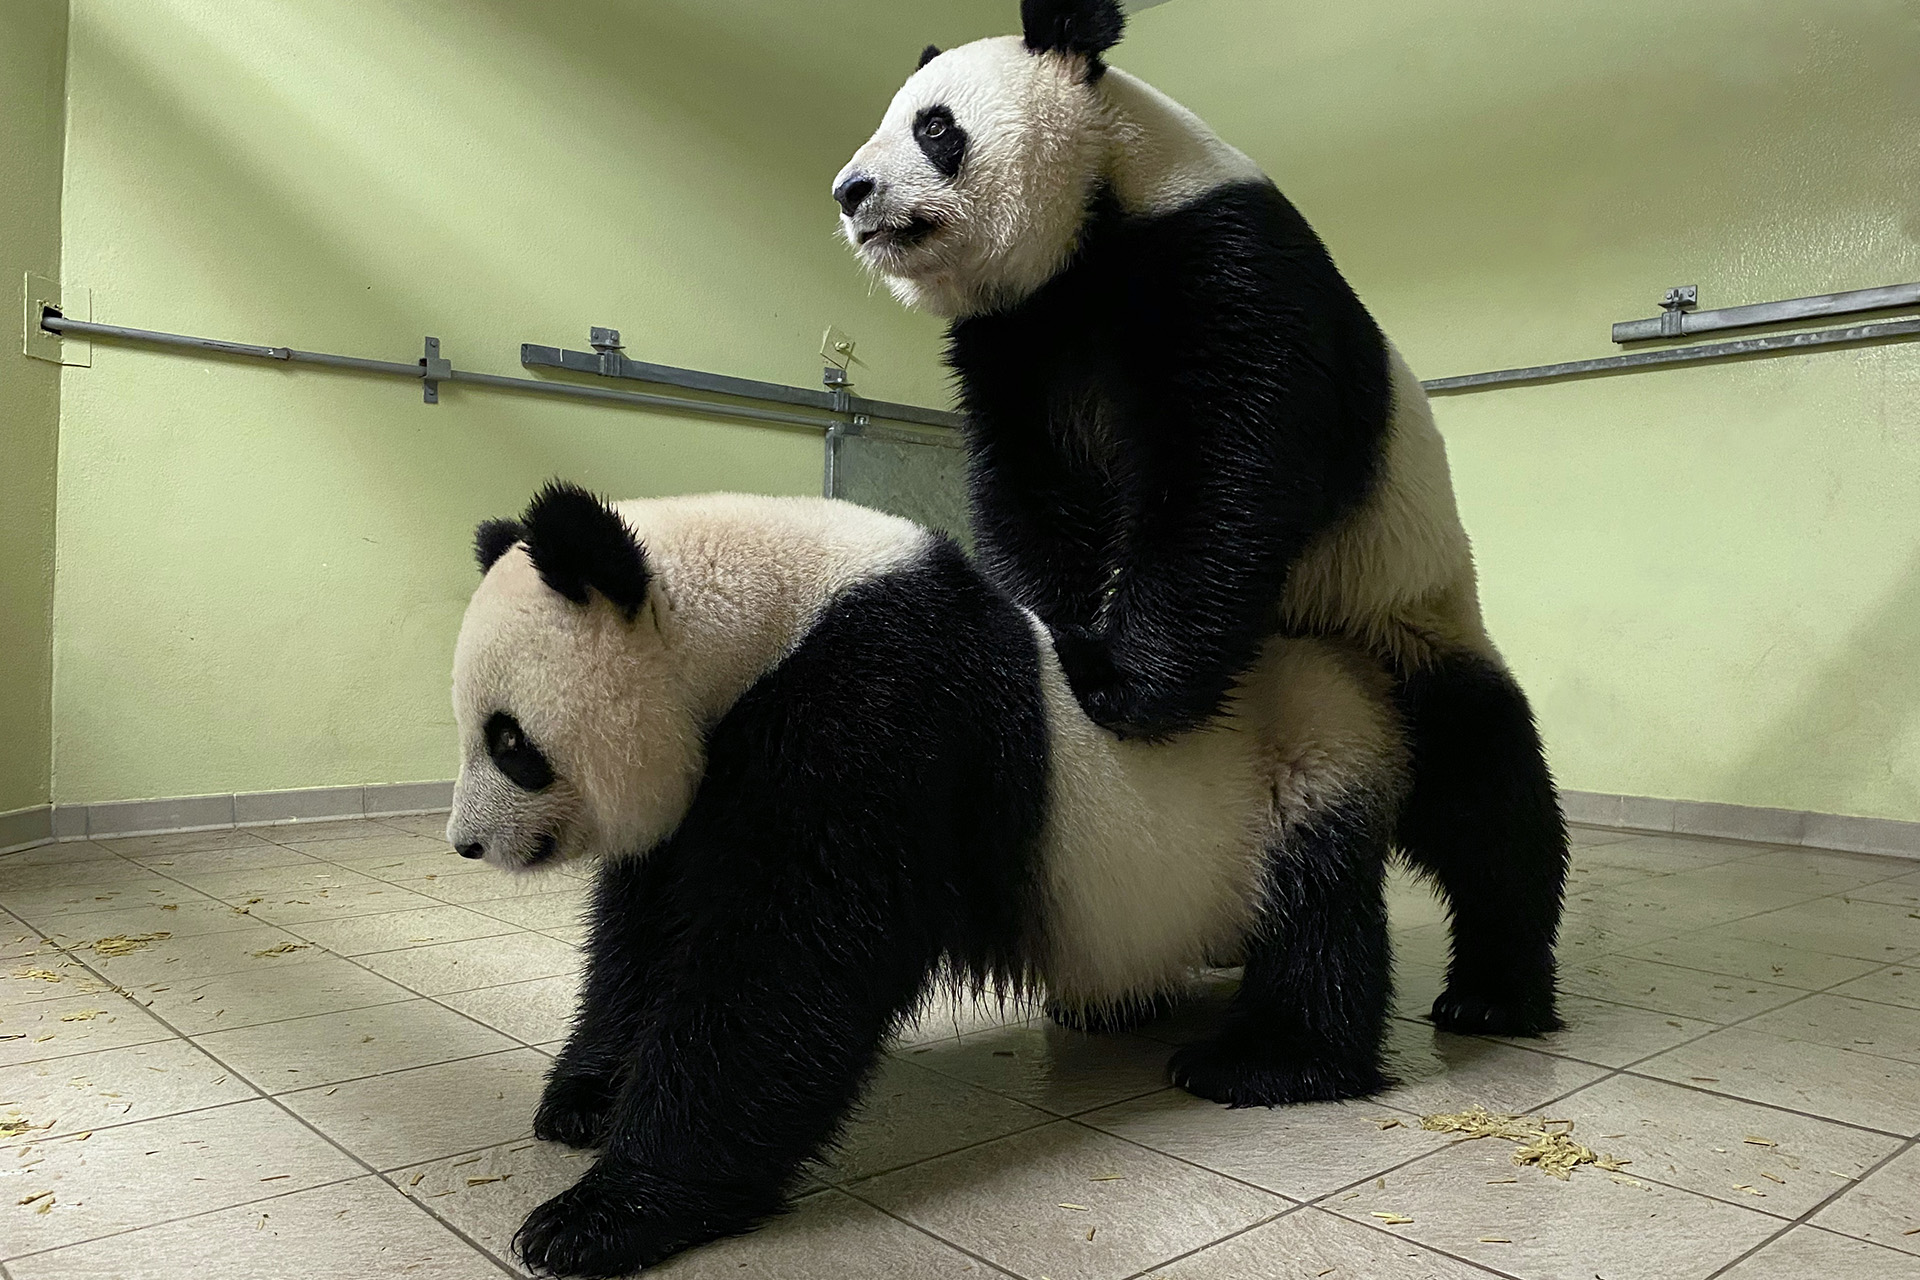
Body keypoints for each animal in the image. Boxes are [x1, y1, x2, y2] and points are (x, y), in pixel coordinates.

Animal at [447, 482, 1408, 1276]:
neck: (756, 619)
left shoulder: (883, 703)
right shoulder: (708, 771)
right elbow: (645, 931)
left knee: (1320, 918)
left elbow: (787, 953)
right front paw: (584, 1101)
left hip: (1297, 764)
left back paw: (1270, 1061)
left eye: (510, 742)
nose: (467, 844)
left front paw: (605, 1213)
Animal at [832, 0, 1567, 1039]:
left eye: (935, 127)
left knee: (1488, 793)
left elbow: (1228, 470)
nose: (852, 192)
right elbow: (1030, 495)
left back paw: (1494, 993)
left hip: (1396, 621)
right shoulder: (1016, 343)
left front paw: (1117, 684)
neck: (1095, 229)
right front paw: (1051, 637)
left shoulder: (1219, 266)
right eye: (889, 117)